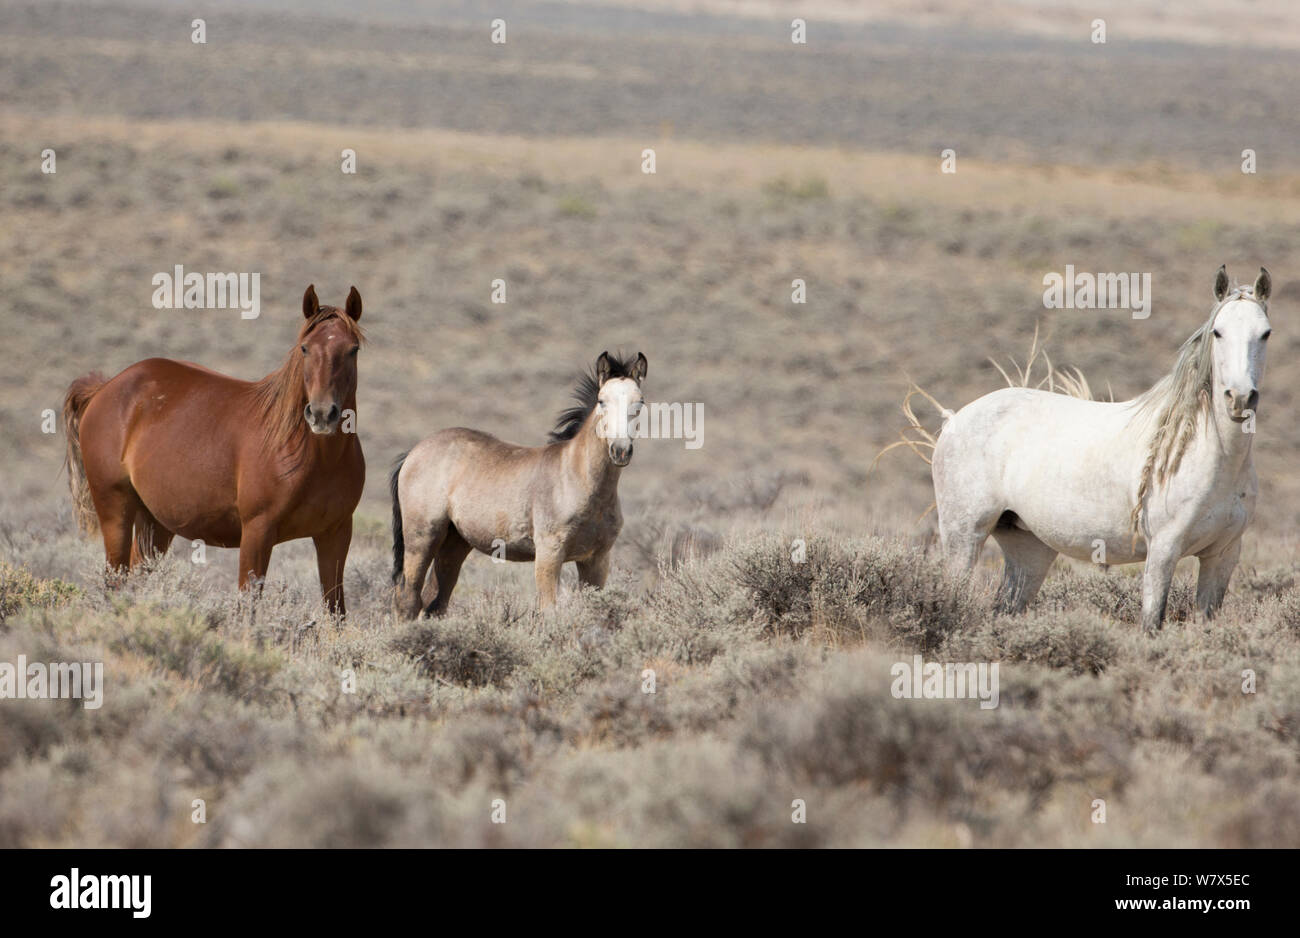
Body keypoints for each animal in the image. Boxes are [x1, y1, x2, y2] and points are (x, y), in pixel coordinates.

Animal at [63, 285, 366, 614]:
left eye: (352, 350)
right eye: (305, 348)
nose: (322, 414)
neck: (315, 456)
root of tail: (104, 389)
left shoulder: (335, 534)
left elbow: (335, 611)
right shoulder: (257, 533)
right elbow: (249, 607)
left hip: (154, 521)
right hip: (115, 509)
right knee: (114, 580)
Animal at [390, 350, 647, 617]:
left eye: (640, 402)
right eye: (601, 401)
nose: (620, 450)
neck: (579, 482)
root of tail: (413, 453)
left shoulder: (596, 559)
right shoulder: (548, 554)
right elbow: (548, 611)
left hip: (455, 541)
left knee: (435, 599)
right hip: (421, 537)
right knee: (407, 598)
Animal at [931, 266, 1271, 632]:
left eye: (1265, 333)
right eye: (1218, 332)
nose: (1239, 398)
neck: (1210, 456)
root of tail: (954, 419)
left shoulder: (1222, 556)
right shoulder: (1163, 551)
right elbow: (1151, 623)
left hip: (1028, 548)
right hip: (964, 537)